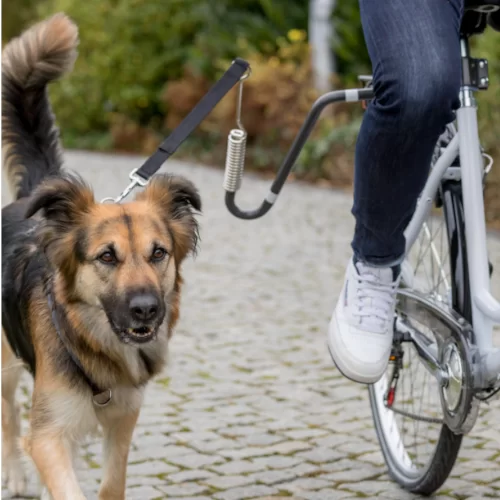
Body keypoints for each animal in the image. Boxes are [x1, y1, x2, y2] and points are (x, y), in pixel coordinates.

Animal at [2, 12, 201, 500]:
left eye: (159, 253)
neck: (93, 342)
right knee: (8, 413)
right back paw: (14, 472)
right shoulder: (48, 434)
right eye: (106, 257)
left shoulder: (122, 420)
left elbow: (111, 483)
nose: (146, 309)